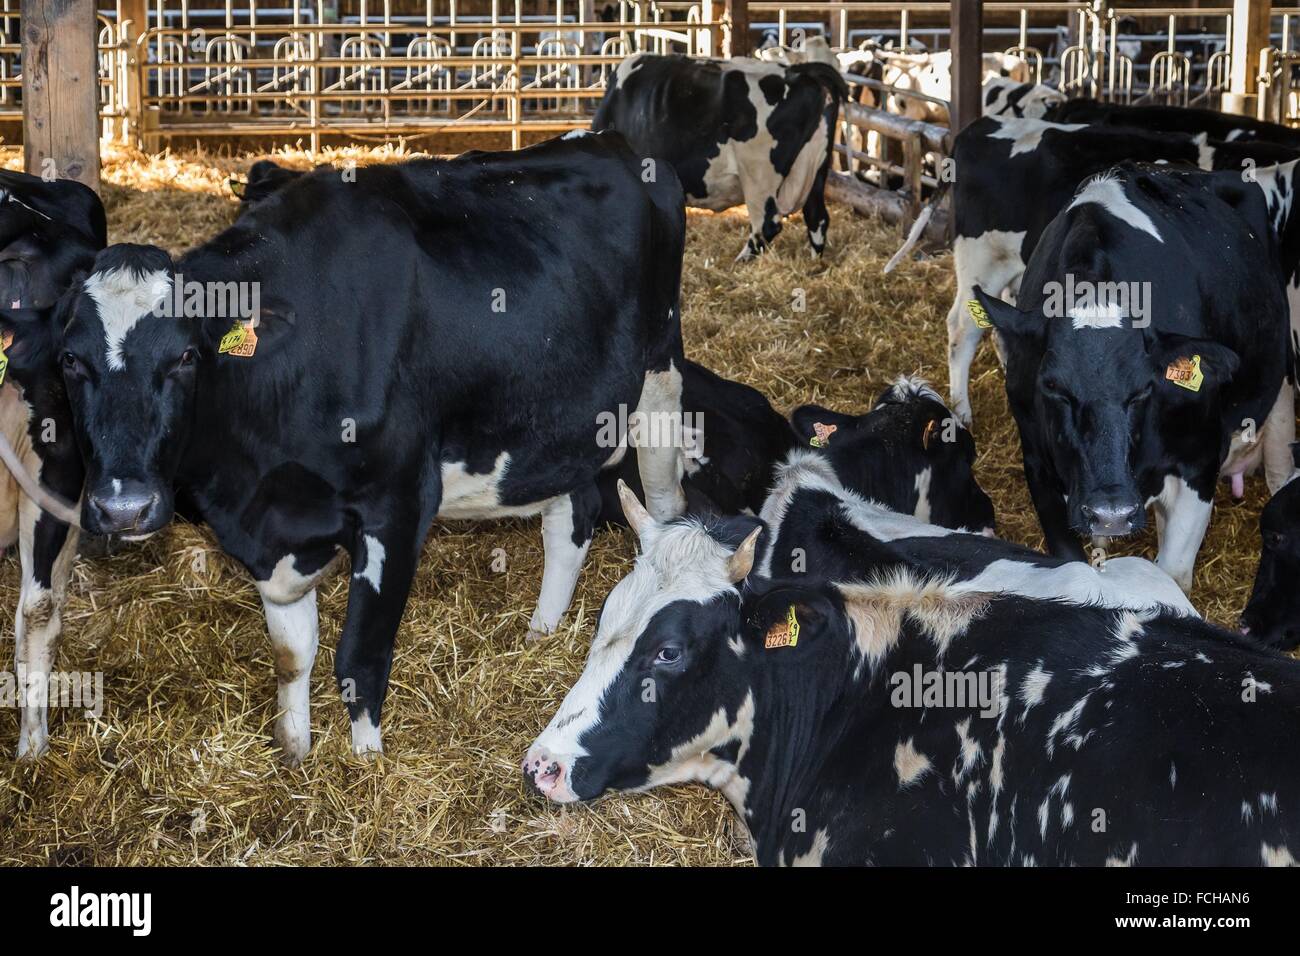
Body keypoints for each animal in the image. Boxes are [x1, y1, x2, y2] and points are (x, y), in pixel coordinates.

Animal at [0, 131, 688, 764]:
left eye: (186, 357)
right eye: (70, 361)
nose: (124, 508)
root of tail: (610, 140)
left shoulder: (399, 504)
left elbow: (361, 656)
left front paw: (366, 765)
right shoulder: (276, 531)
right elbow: (291, 652)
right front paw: (296, 754)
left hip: (659, 381)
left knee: (665, 504)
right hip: (560, 416)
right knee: (569, 515)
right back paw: (542, 630)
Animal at [592, 53, 847, 260]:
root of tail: (800, 71)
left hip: (759, 175)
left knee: (766, 225)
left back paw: (740, 262)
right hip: (816, 169)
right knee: (817, 218)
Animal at [972, 162, 1295, 592]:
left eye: (1143, 390)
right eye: (1053, 387)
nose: (1112, 514)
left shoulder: (1198, 463)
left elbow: (1172, 576)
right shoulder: (1038, 465)